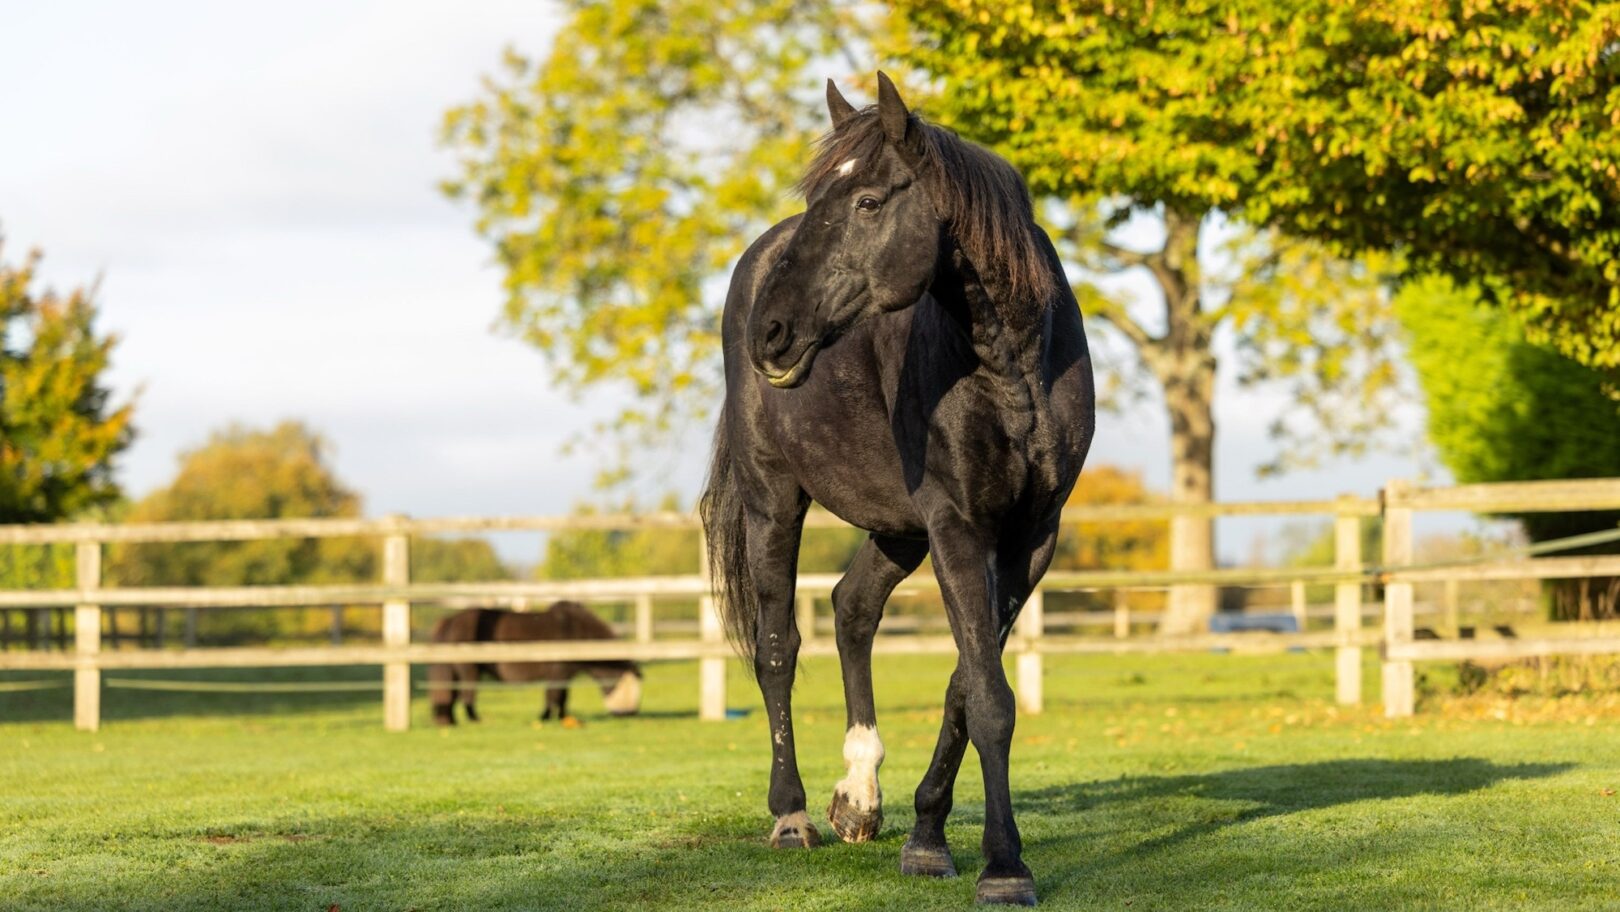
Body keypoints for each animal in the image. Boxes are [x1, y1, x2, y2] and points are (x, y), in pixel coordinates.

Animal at [428, 602, 642, 725]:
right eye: (630, 689)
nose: (630, 714)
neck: (576, 632)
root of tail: (451, 620)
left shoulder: (565, 674)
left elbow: (562, 697)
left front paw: (563, 718)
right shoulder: (559, 672)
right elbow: (554, 695)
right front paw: (545, 717)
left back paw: (451, 721)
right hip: (469, 670)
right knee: (467, 696)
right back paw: (475, 720)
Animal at [698, 73, 1094, 906]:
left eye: (869, 202)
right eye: (820, 198)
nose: (770, 332)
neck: (1012, 369)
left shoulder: (1029, 539)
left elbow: (967, 687)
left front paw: (926, 837)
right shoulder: (956, 526)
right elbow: (989, 697)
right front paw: (1004, 867)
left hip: (896, 529)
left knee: (852, 608)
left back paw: (859, 795)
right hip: (776, 503)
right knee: (778, 649)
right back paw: (794, 815)